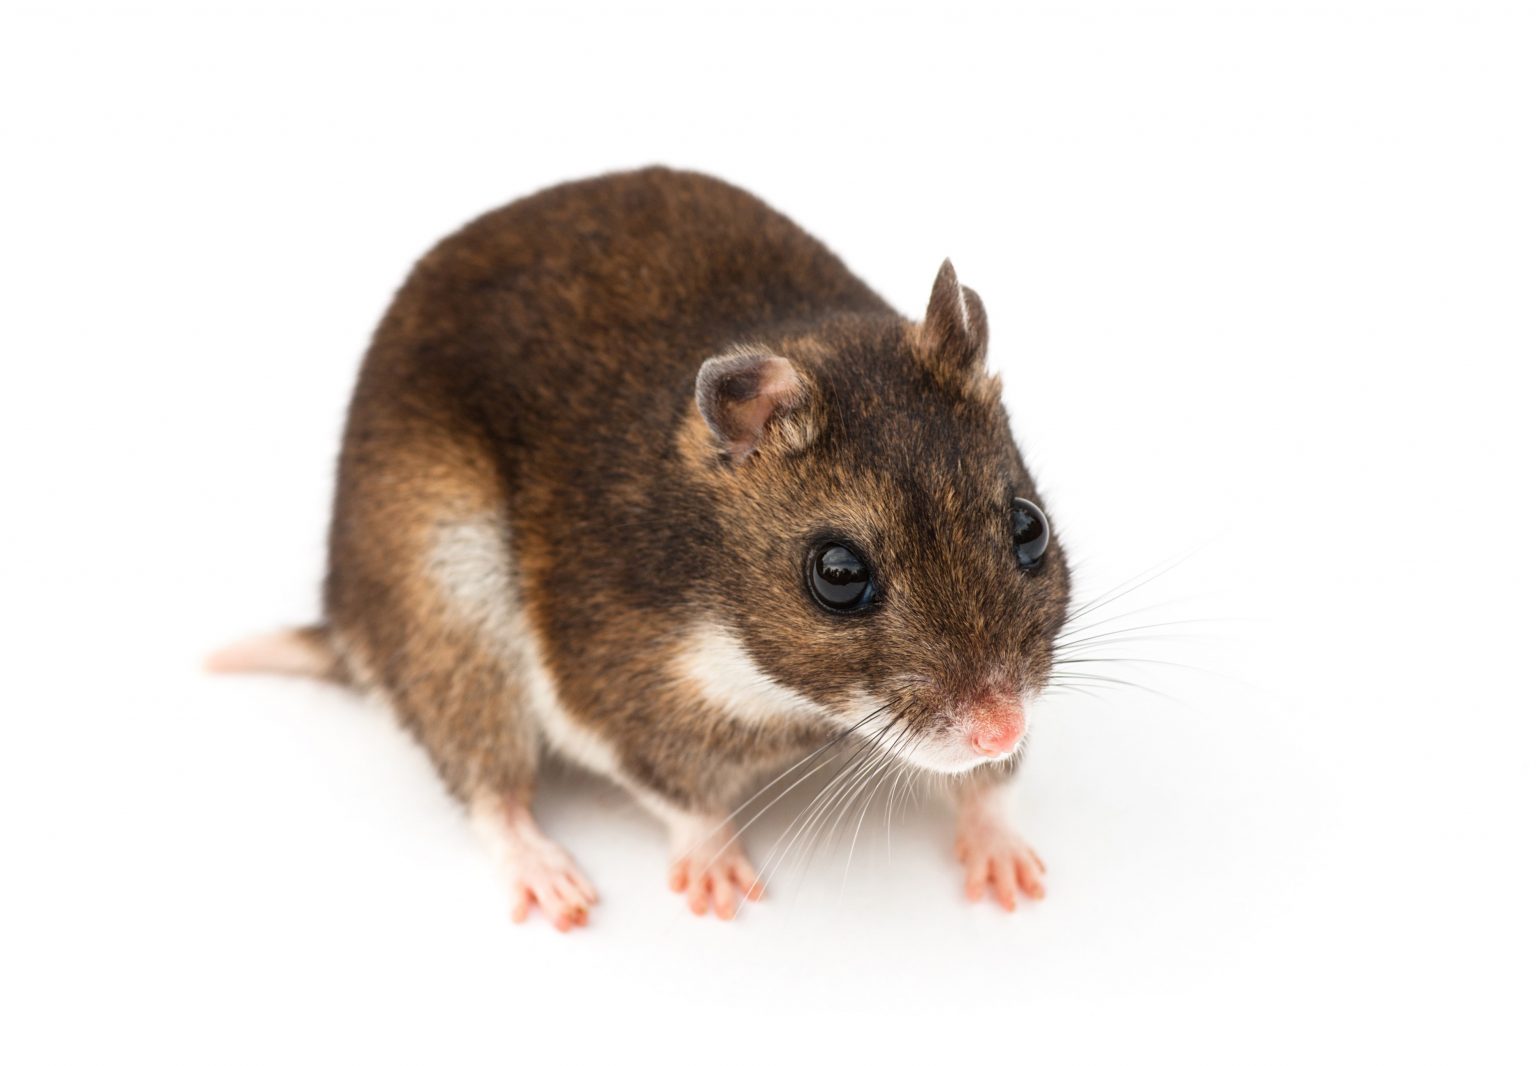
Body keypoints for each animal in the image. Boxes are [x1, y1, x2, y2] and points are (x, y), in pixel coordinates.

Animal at [210, 167, 1071, 928]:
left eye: (1029, 527)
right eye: (837, 575)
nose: (1002, 728)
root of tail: (345, 620)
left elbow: (986, 789)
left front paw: (1007, 861)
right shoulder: (618, 693)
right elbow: (679, 795)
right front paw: (716, 877)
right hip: (445, 601)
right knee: (486, 782)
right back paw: (546, 873)